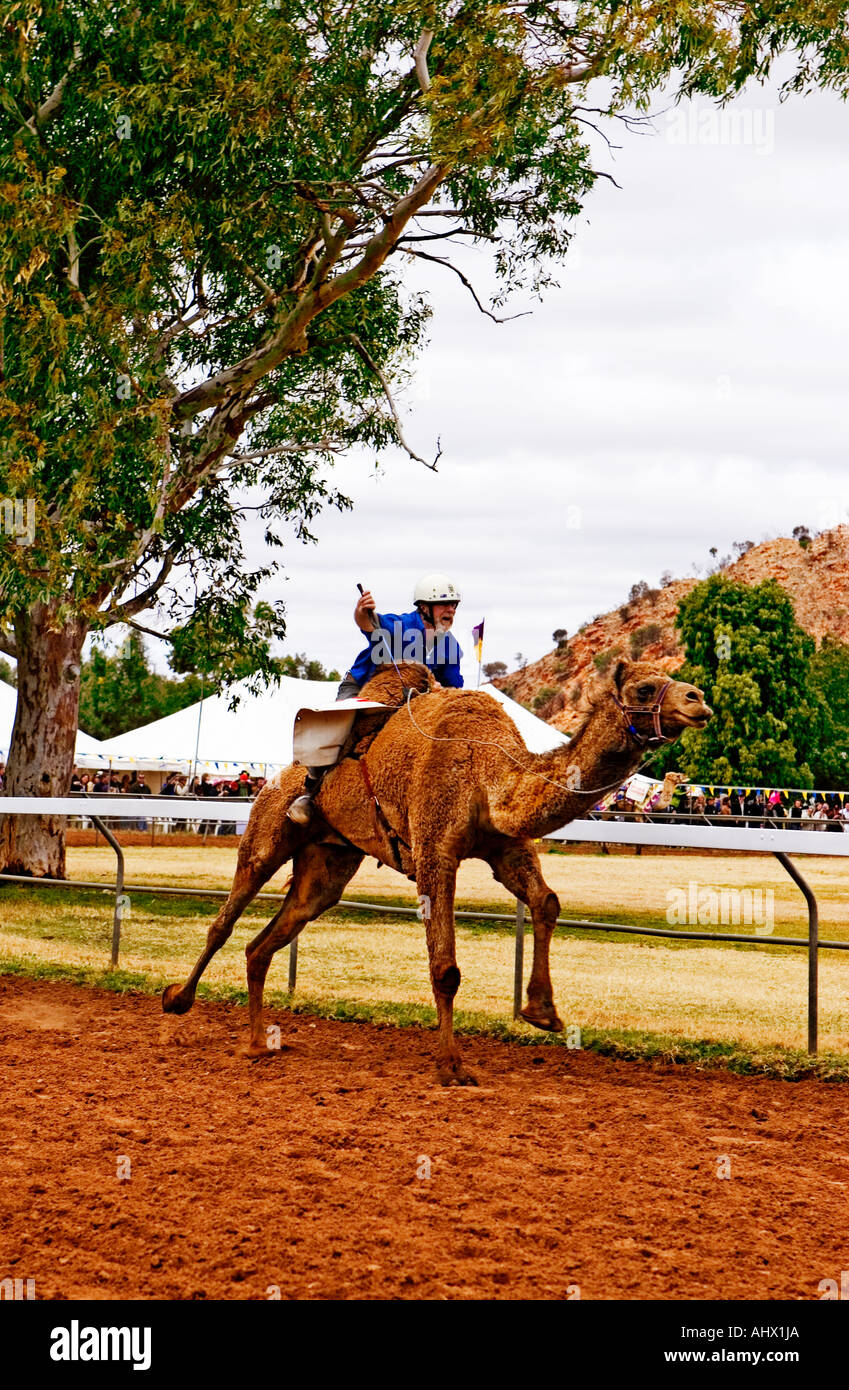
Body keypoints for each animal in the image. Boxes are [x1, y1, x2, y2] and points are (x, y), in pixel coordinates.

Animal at [162, 658, 712, 1085]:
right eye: (644, 688)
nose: (699, 698)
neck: (489, 768)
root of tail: (275, 780)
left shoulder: (505, 846)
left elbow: (546, 902)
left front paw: (541, 1012)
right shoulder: (433, 850)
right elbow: (445, 968)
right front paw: (451, 1065)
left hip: (329, 863)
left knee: (268, 938)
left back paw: (258, 1043)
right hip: (267, 832)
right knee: (225, 918)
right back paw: (177, 999)